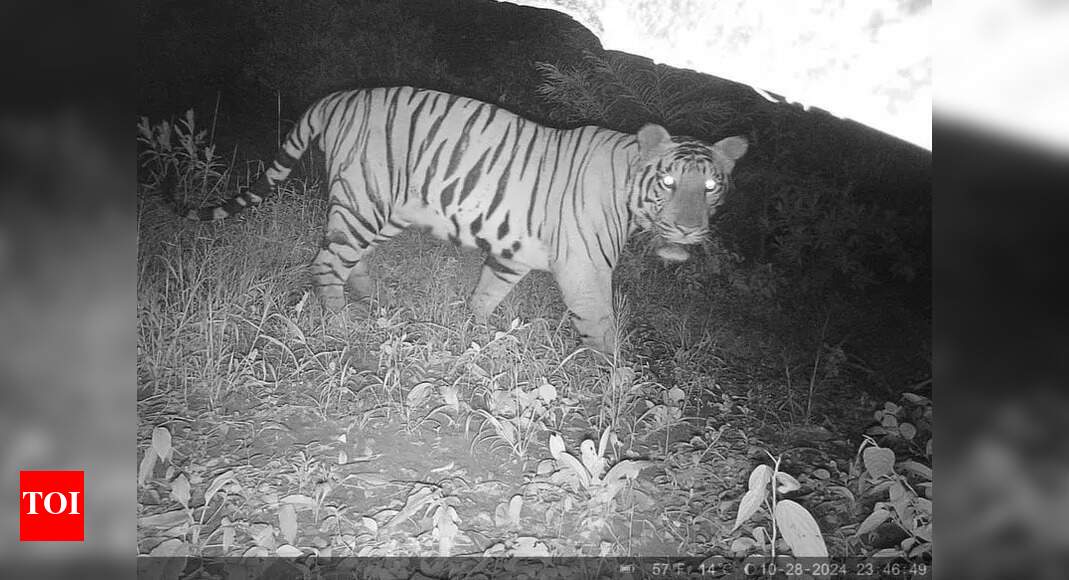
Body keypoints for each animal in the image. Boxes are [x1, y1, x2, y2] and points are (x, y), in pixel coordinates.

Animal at [182, 87, 747, 353]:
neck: (631, 193)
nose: (691, 229)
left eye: (711, 186)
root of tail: (338, 95)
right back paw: (341, 321)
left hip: (383, 211)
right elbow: (603, 329)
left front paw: (470, 331)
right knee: (326, 262)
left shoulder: (511, 257)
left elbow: (486, 295)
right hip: (365, 203)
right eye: (669, 183)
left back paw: (373, 298)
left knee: (349, 258)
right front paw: (616, 385)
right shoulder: (586, 270)